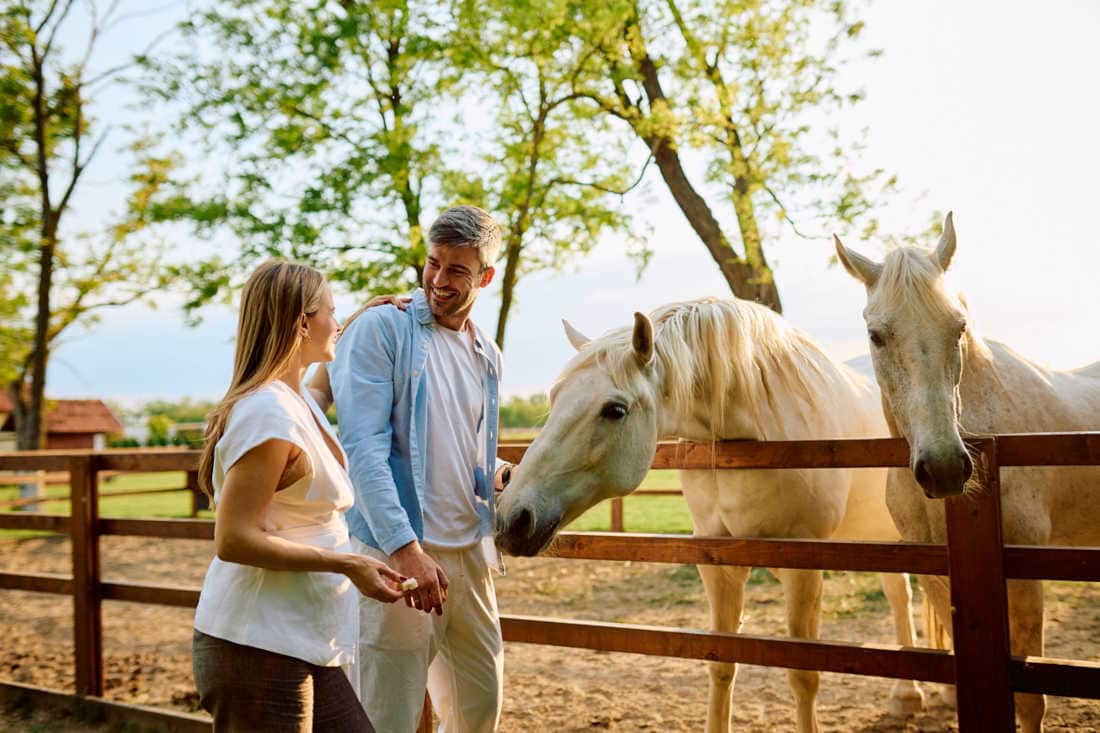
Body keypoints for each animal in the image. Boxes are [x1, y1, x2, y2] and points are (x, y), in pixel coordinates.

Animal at [495, 296, 925, 733]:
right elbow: (721, 661)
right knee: (900, 595)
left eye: (614, 410)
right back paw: (906, 697)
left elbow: (803, 675)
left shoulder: (803, 567)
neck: (759, 433)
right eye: (554, 397)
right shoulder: (718, 561)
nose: (514, 518)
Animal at [834, 213, 1100, 732]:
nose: (943, 468)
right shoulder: (939, 579)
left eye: (958, 327)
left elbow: (1029, 700)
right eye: (876, 335)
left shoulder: (1023, 577)